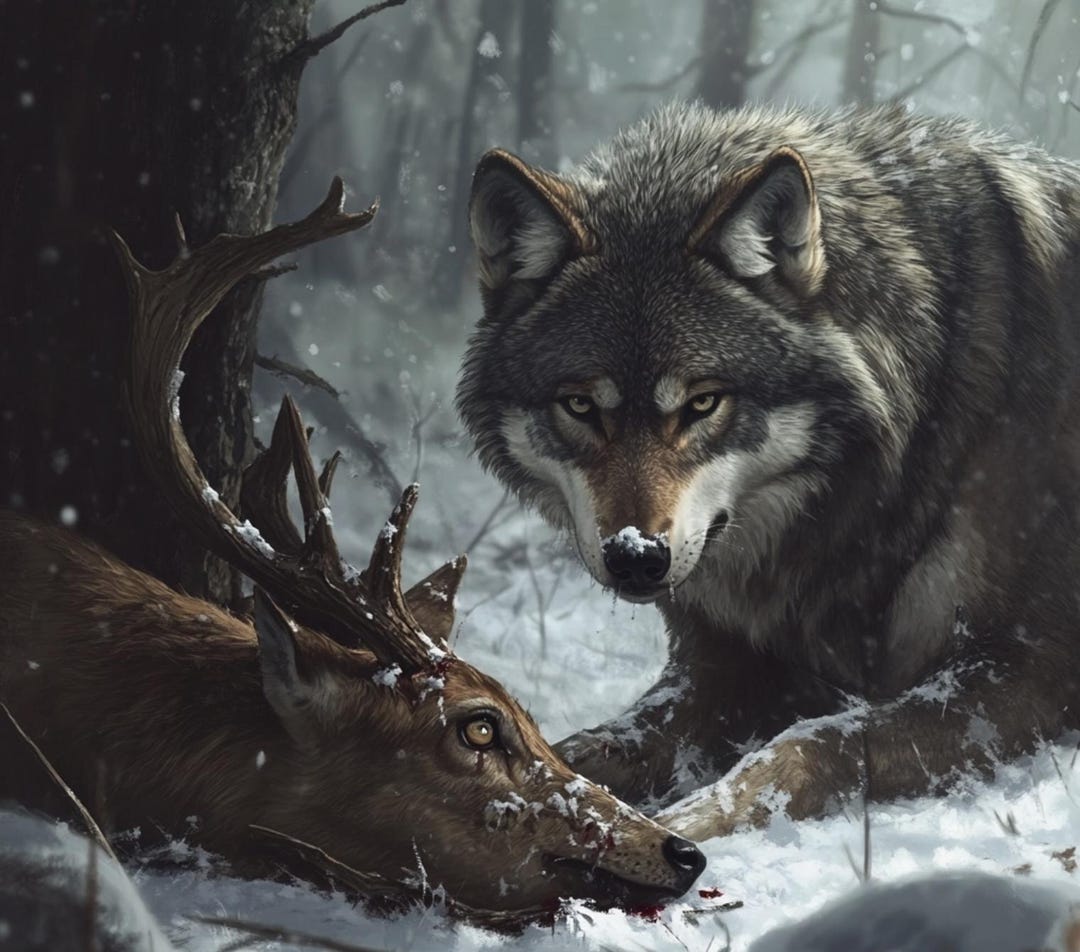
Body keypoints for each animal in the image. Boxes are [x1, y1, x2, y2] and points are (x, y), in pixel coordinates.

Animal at [456, 101, 1080, 840]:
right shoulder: (719, 674)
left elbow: (810, 744)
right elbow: (576, 749)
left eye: (703, 403)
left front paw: (690, 822)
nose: (636, 557)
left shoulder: (1030, 668)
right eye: (580, 405)